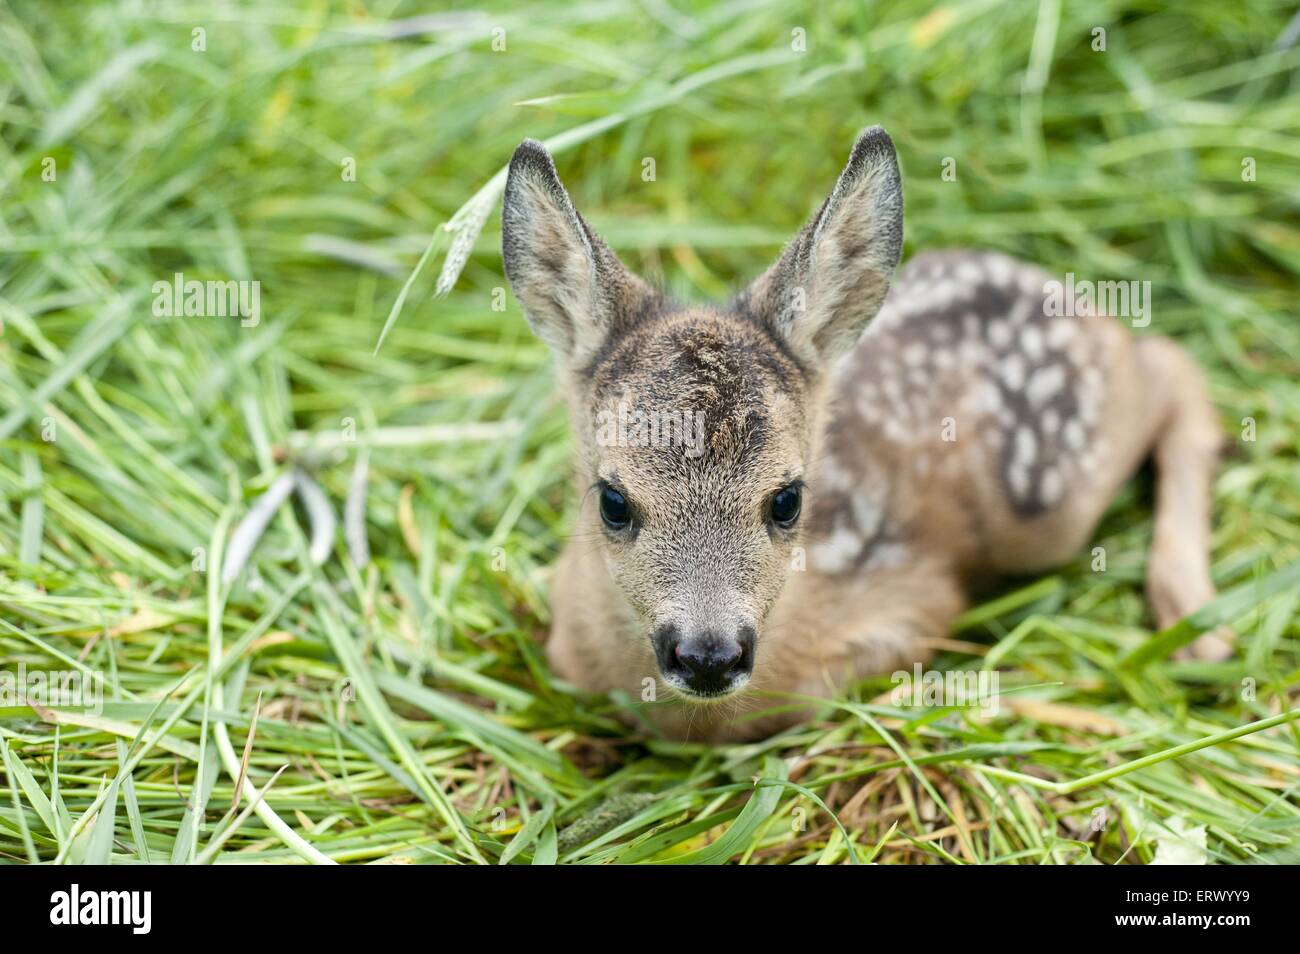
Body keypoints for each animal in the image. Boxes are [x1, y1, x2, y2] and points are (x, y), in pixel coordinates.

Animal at [501, 126, 1229, 742]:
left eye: (787, 500)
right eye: (612, 501)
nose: (709, 655)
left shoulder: (917, 602)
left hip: (1052, 493)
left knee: (1171, 363)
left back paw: (1197, 626)